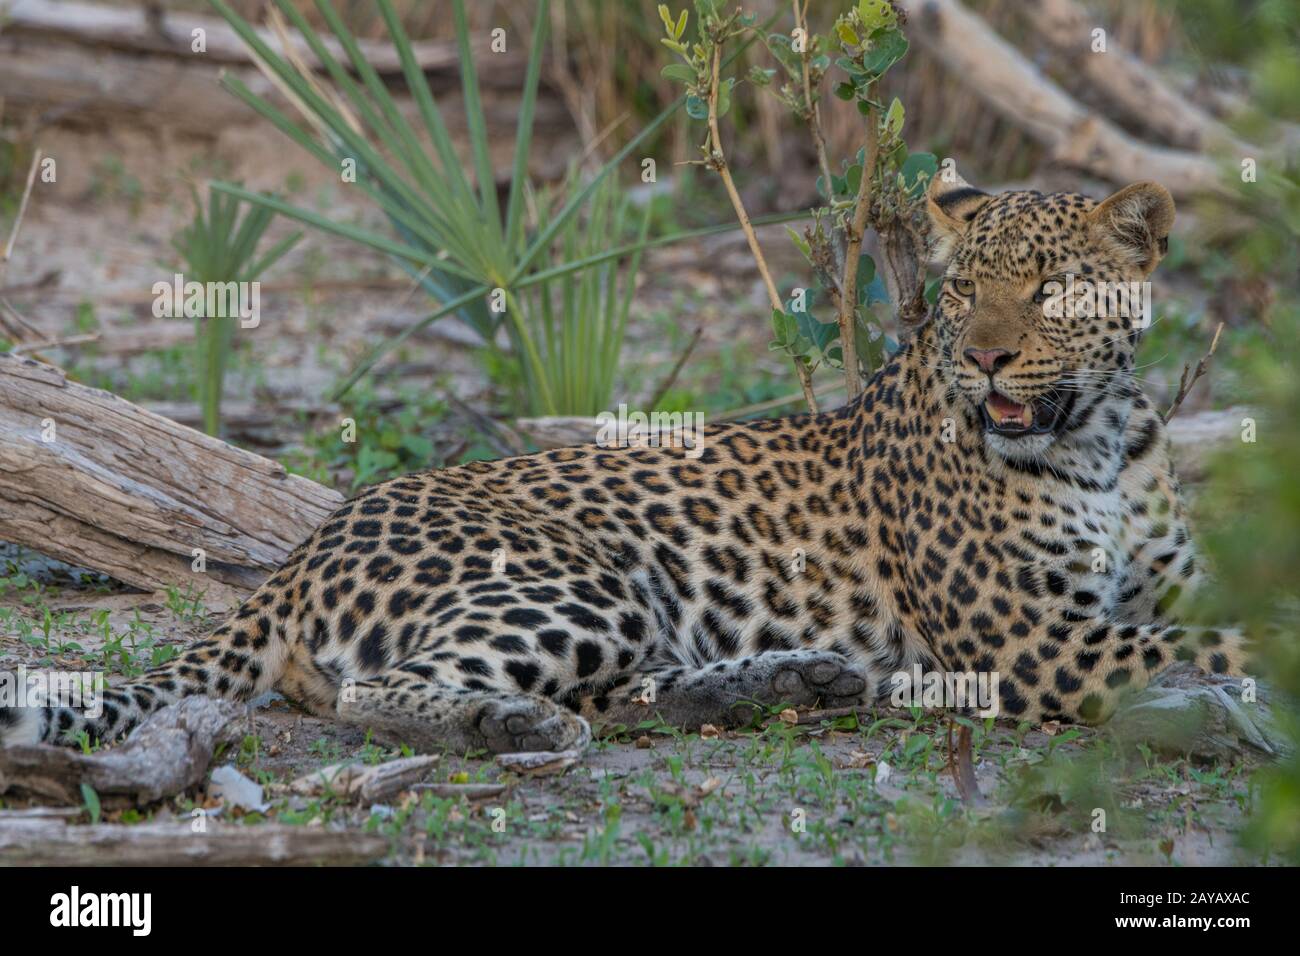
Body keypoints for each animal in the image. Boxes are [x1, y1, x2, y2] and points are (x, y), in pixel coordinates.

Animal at [0, 173, 1254, 755]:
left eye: (1050, 290)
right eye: (961, 291)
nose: (986, 352)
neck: (1101, 436)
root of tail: (307, 547)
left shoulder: (1165, 586)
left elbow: (1228, 616)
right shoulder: (1034, 640)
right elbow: (1226, 644)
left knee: (629, 691)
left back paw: (781, 680)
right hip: (574, 579)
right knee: (378, 693)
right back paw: (513, 726)